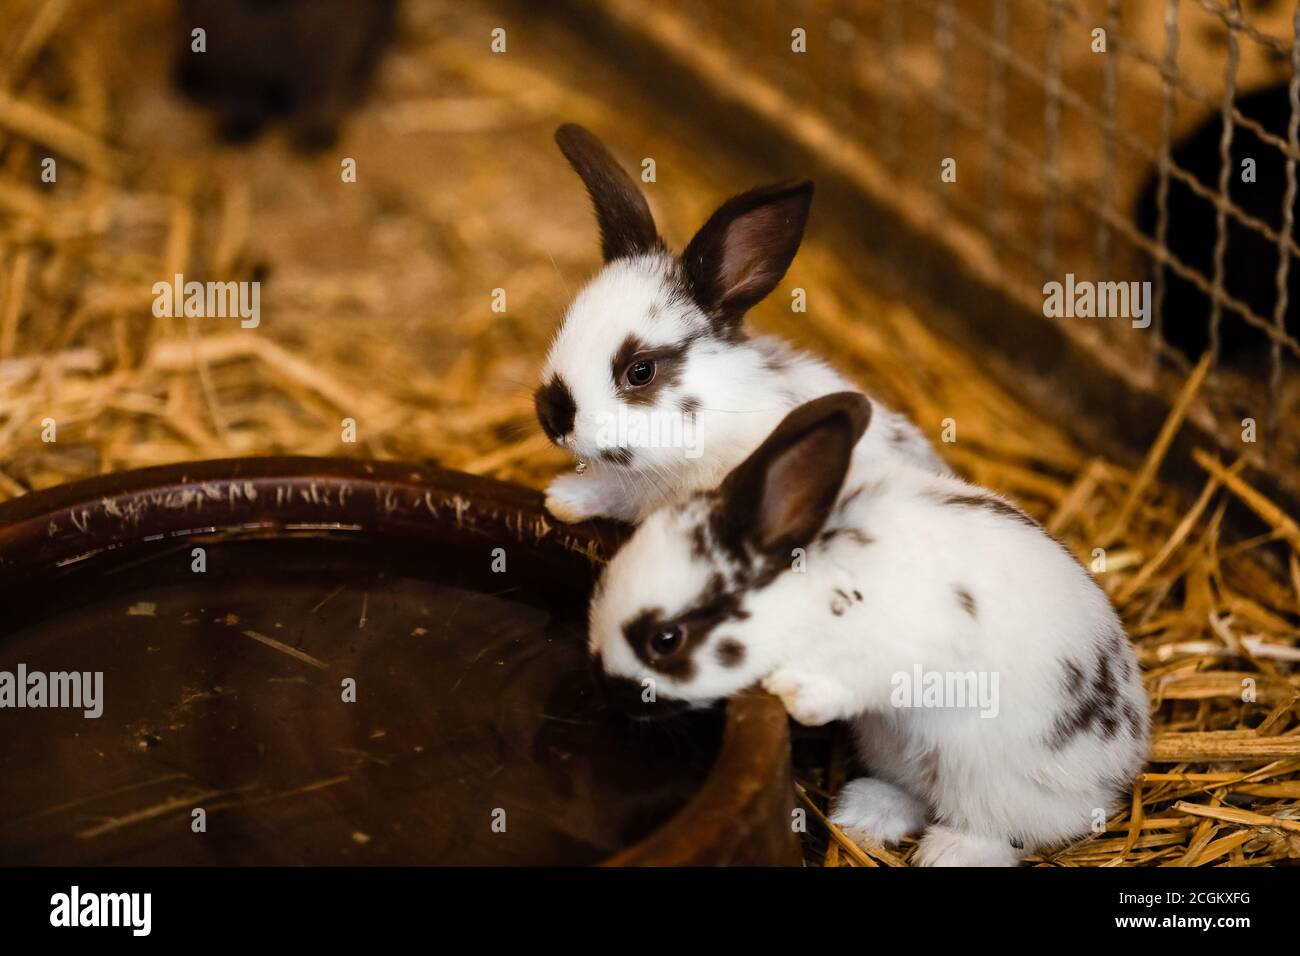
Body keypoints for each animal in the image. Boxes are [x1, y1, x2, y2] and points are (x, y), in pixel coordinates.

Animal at [174, 0, 399, 150]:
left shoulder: (330, 45)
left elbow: (321, 92)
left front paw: (314, 137)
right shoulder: (227, 51)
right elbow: (241, 95)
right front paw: (237, 131)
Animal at [588, 392, 1149, 866]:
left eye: (666, 640)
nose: (611, 693)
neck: (804, 591)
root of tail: (1123, 762)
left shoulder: (910, 645)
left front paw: (797, 694)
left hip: (992, 779)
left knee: (1002, 830)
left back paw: (947, 854)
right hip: (896, 750)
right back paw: (864, 811)